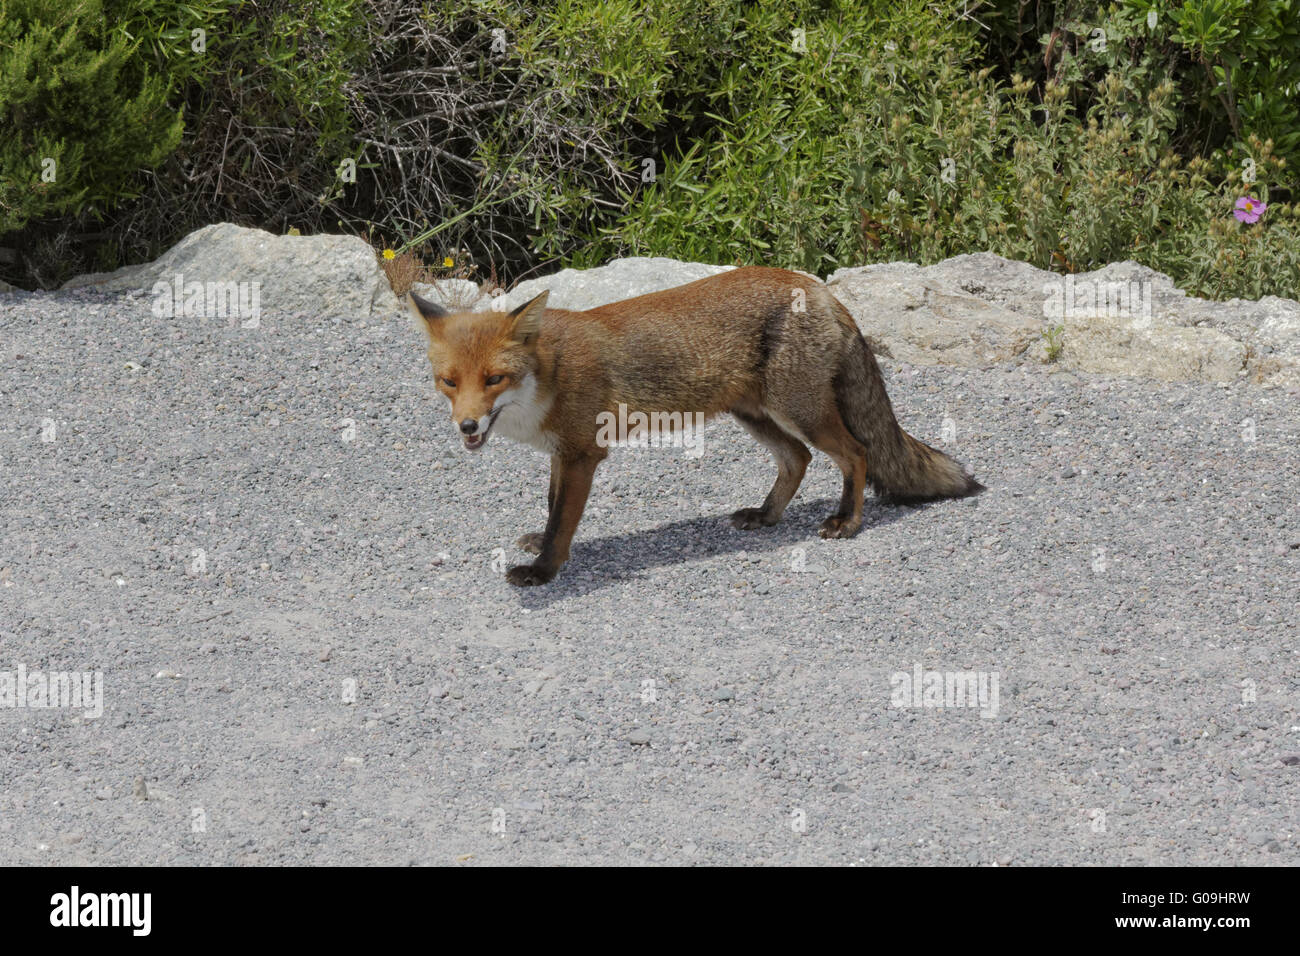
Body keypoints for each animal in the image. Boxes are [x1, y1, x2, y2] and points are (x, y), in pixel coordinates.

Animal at [410, 267, 984, 586]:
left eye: (495, 378)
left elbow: (561, 525)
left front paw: (543, 572)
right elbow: (551, 510)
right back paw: (766, 515)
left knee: (857, 453)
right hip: (754, 414)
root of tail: (815, 286)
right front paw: (538, 545)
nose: (466, 426)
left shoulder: (582, 453)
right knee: (798, 460)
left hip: (799, 412)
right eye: (449, 382)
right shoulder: (560, 452)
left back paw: (847, 521)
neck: (548, 375)